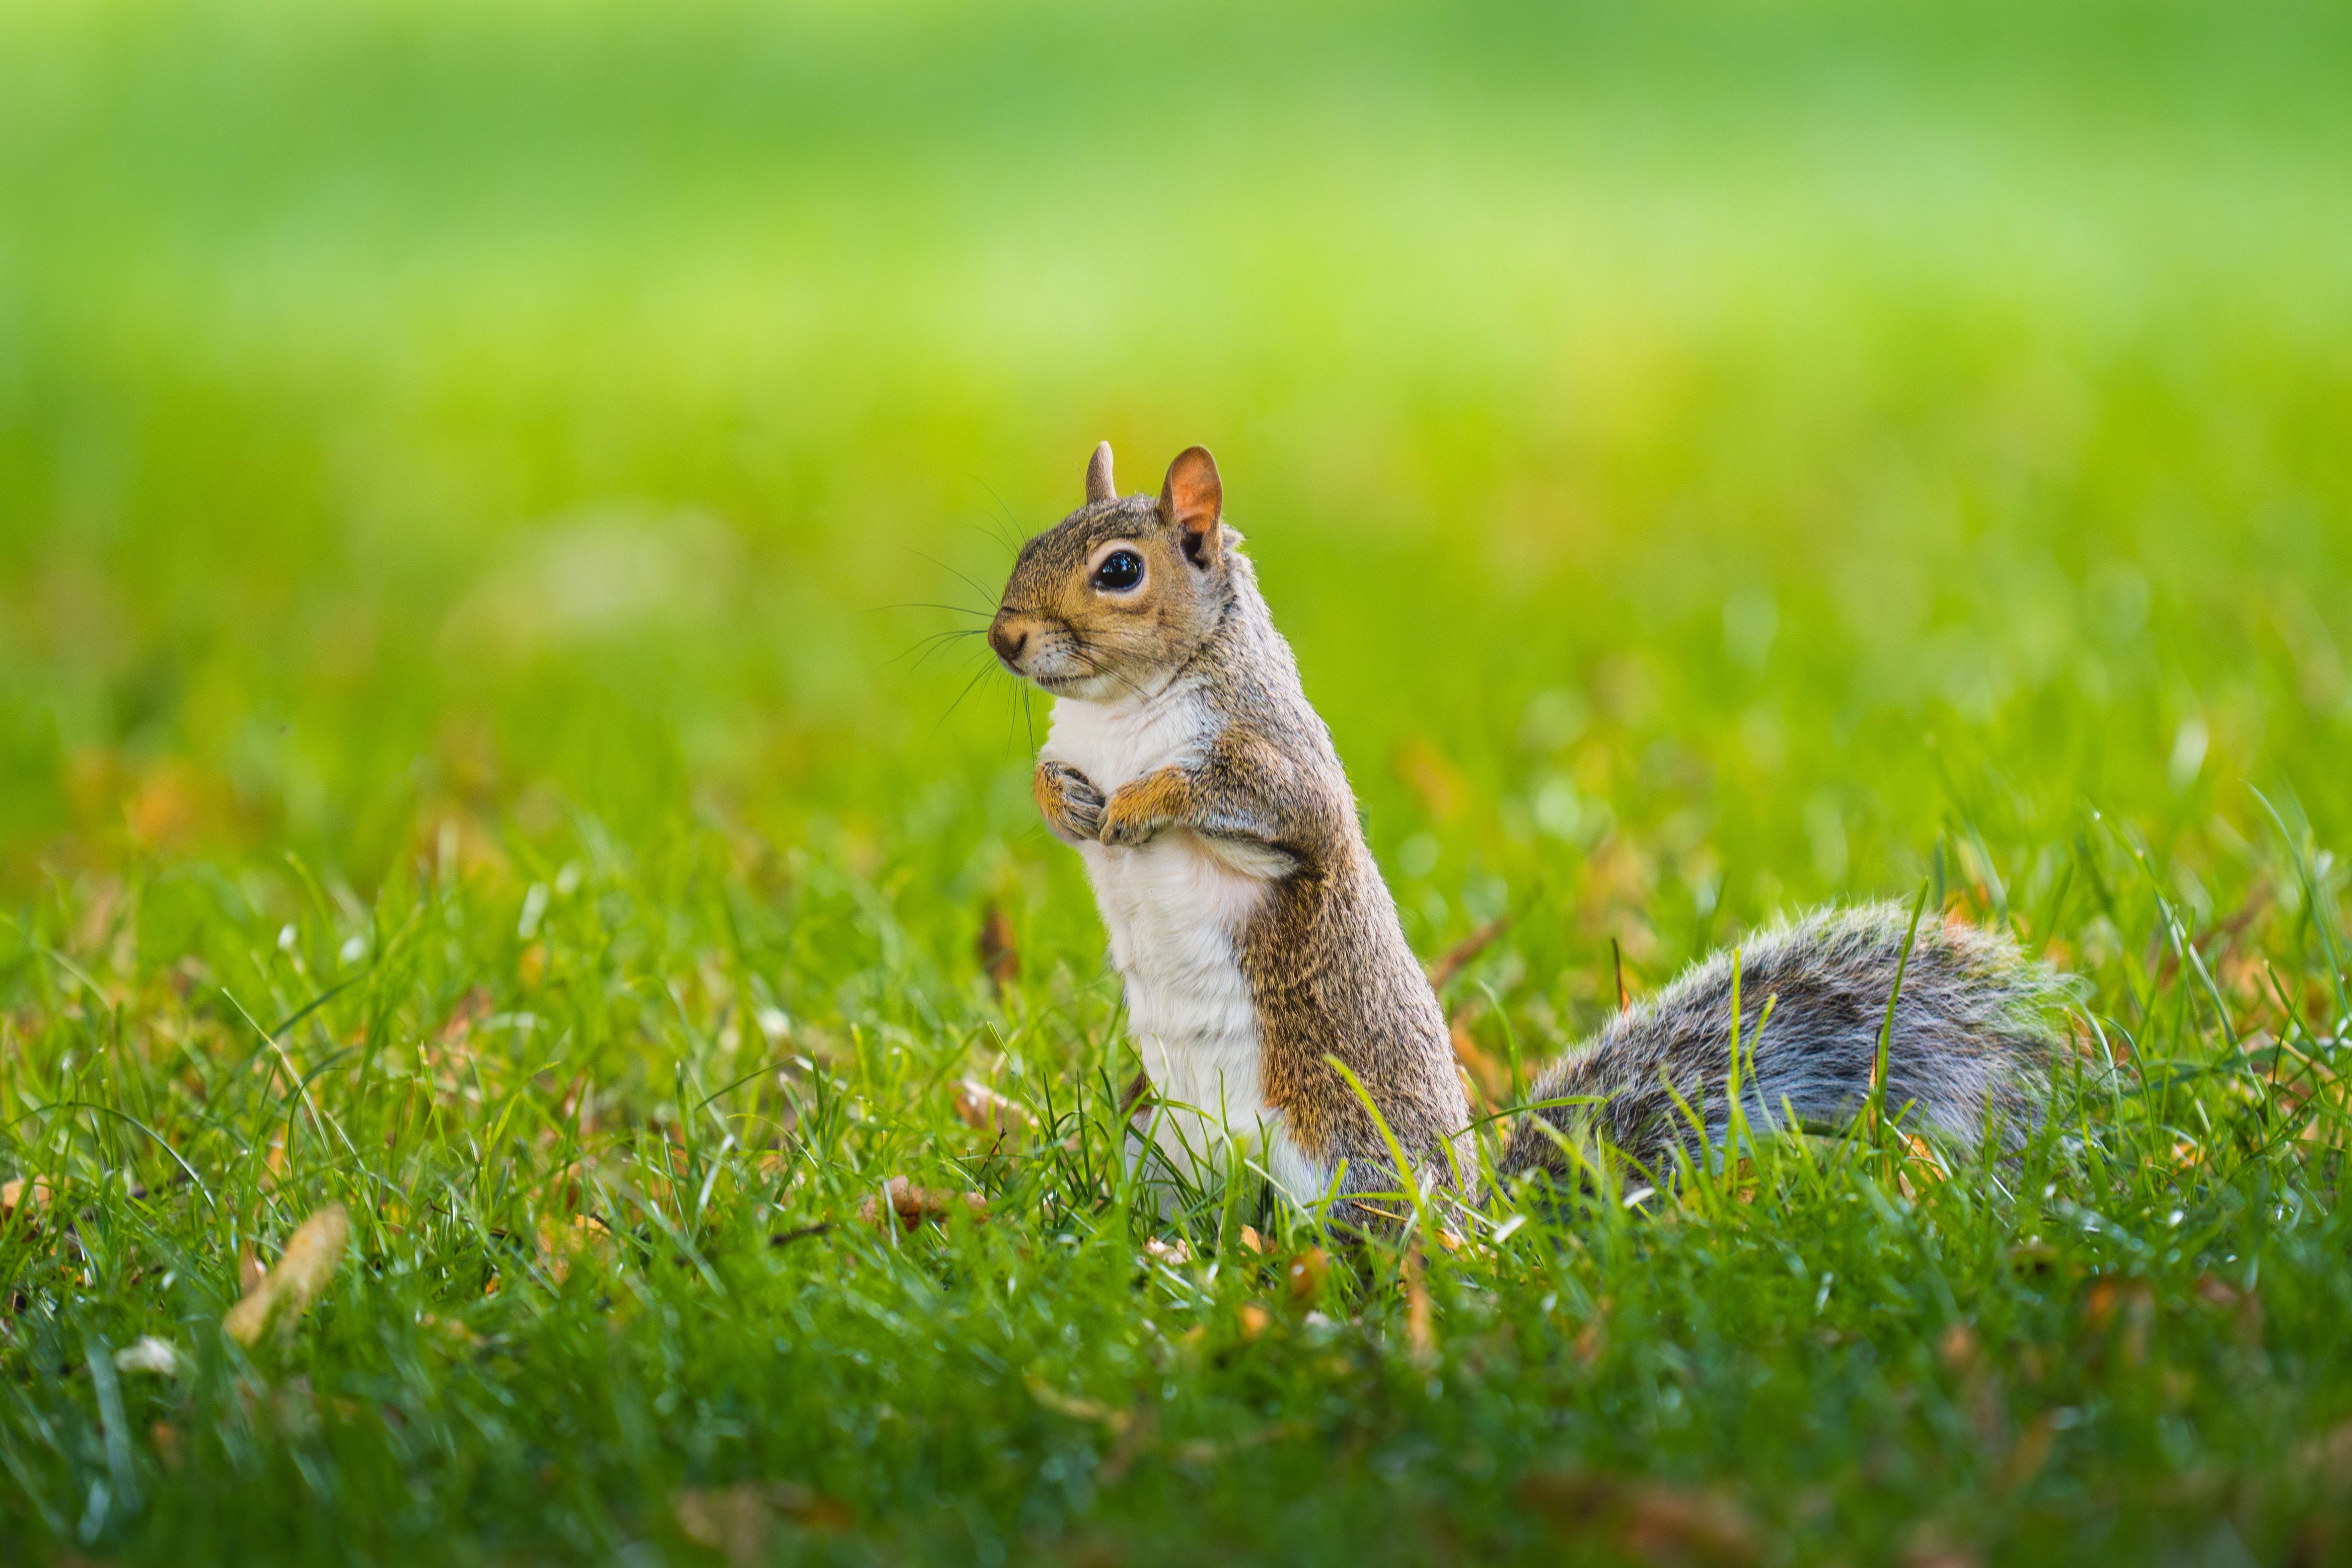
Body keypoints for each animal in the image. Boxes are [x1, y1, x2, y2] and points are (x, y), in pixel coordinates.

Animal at [987, 441, 2066, 1228]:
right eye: (1030, 541)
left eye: (1119, 571)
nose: (1004, 639)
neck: (1118, 713)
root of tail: (1480, 1219)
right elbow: (1052, 781)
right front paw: (1063, 802)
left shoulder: (1281, 766)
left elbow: (1265, 805)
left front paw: (1140, 804)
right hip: (1160, 1147)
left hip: (1351, 1163)